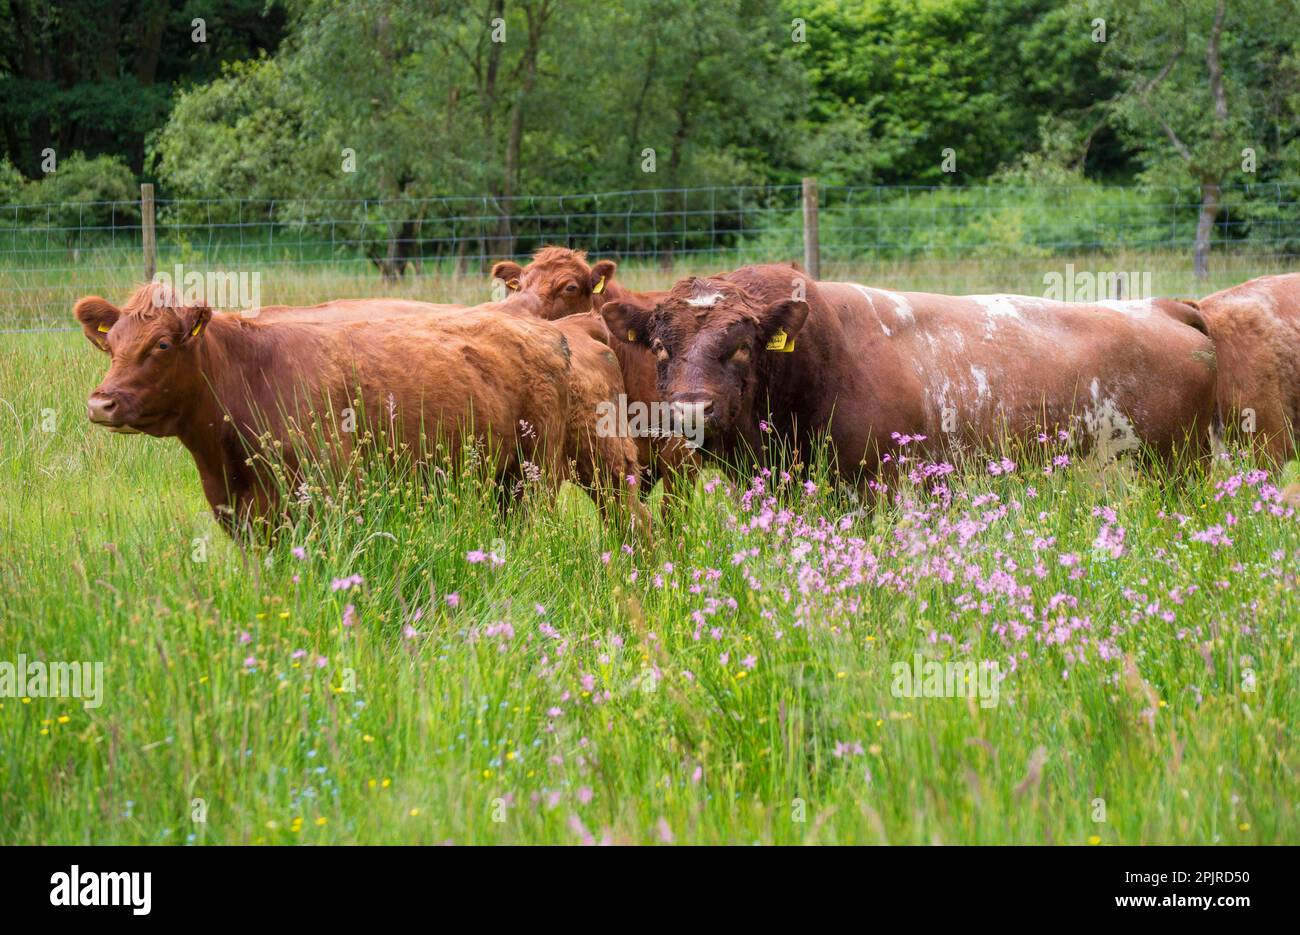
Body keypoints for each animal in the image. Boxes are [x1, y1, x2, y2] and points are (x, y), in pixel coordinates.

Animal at [74, 283, 642, 536]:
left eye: (163, 344)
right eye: (112, 343)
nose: (101, 402)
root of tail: (565, 328)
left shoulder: (330, 492)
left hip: (568, 469)